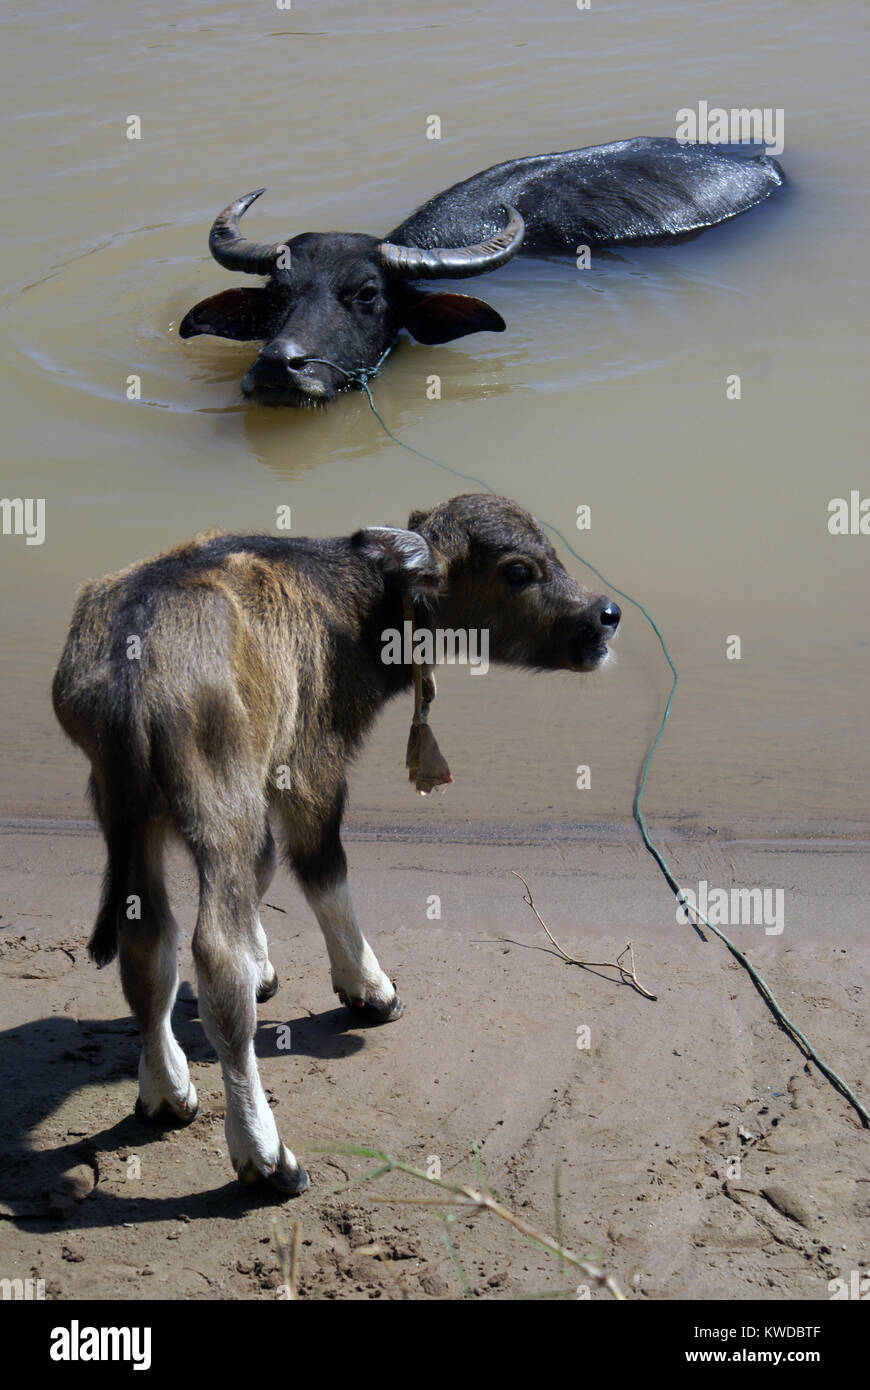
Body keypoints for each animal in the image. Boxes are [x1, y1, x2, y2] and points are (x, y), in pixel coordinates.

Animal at [52, 494, 621, 1195]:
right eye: (518, 570)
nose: (606, 615)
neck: (354, 602)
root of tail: (131, 668)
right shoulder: (310, 768)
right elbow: (324, 874)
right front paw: (371, 991)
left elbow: (267, 867)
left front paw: (267, 966)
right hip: (219, 794)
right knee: (214, 955)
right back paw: (266, 1155)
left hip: (127, 810)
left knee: (147, 943)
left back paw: (167, 1090)